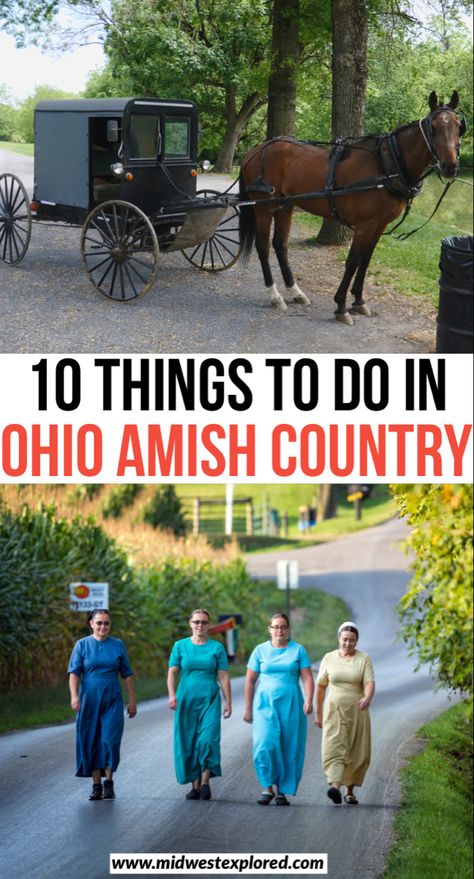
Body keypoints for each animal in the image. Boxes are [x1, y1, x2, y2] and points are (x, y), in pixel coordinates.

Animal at [239, 92, 464, 324]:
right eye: (433, 127)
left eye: (458, 126)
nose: (450, 166)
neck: (386, 165)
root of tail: (255, 150)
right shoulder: (365, 225)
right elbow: (352, 261)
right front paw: (341, 306)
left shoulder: (379, 225)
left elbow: (365, 260)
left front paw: (359, 301)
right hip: (263, 209)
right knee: (263, 247)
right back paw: (274, 295)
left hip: (285, 206)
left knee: (280, 245)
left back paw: (295, 292)